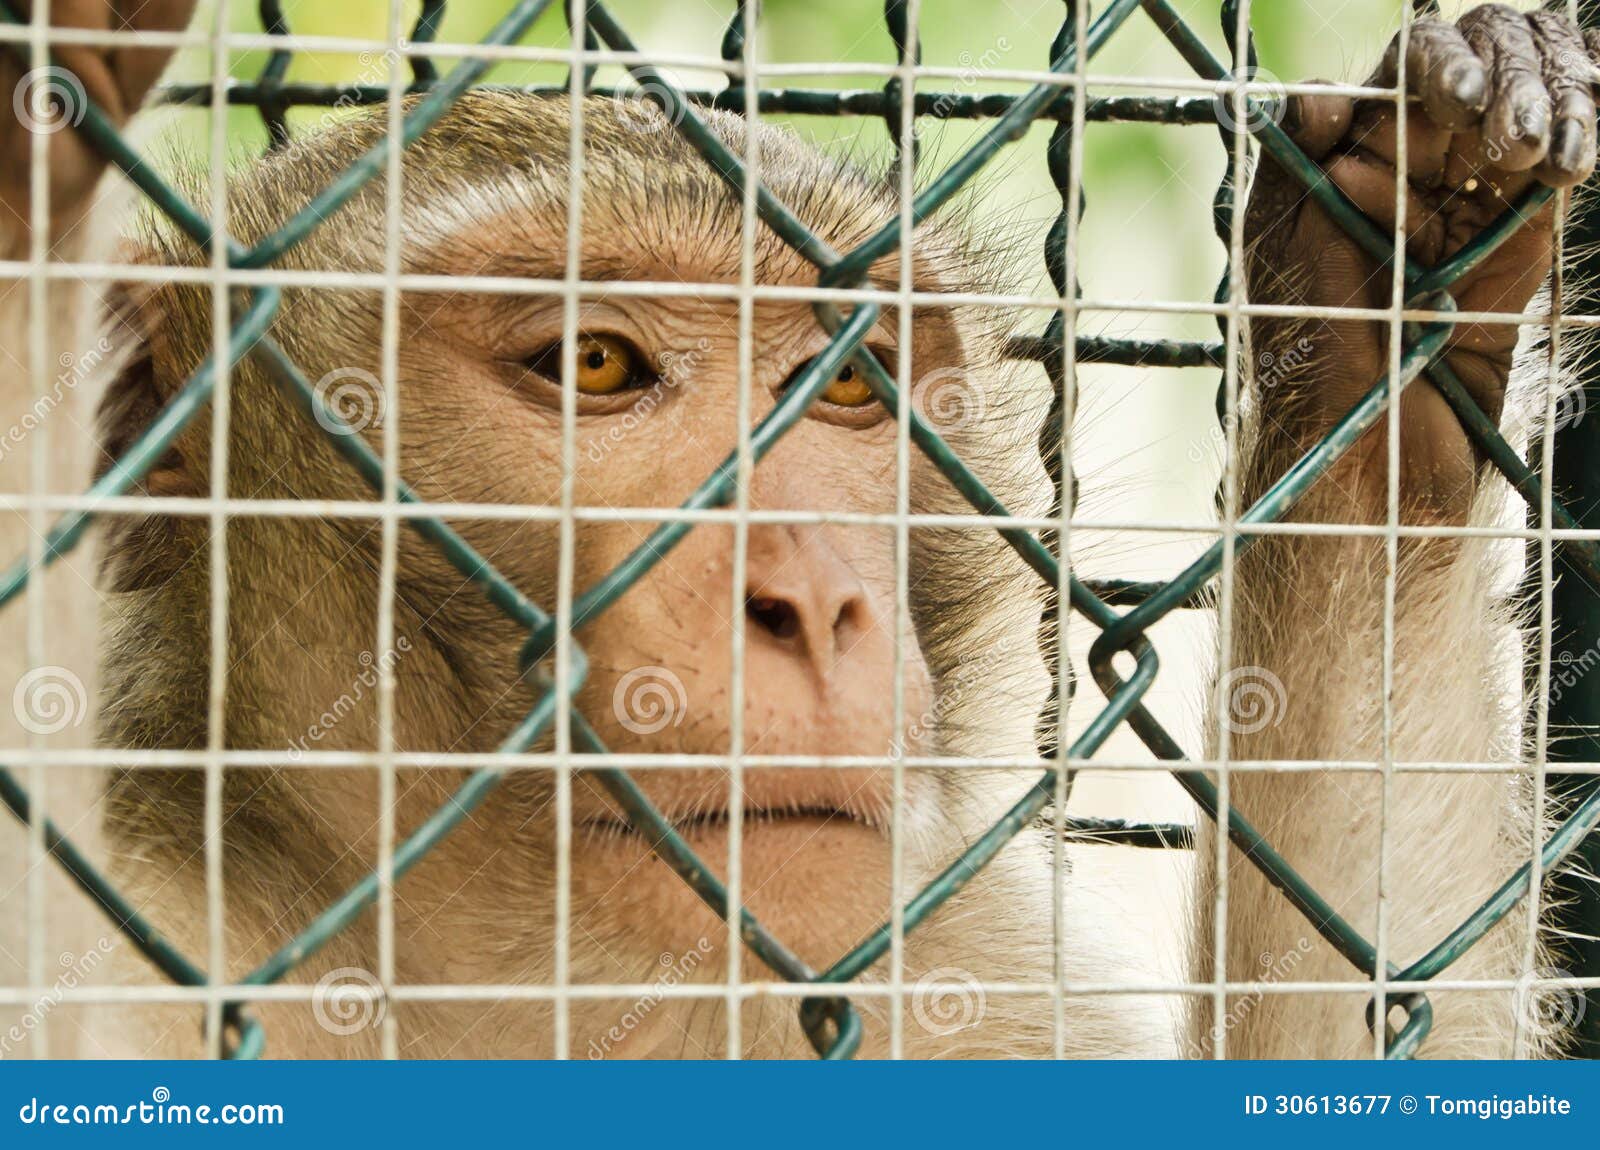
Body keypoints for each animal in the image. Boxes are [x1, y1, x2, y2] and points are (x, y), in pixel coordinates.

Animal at [0, 3, 1593, 1059]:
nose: (815, 603)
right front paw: (41, 164)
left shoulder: (984, 977)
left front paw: (1385, 317)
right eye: (592, 364)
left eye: (850, 384)